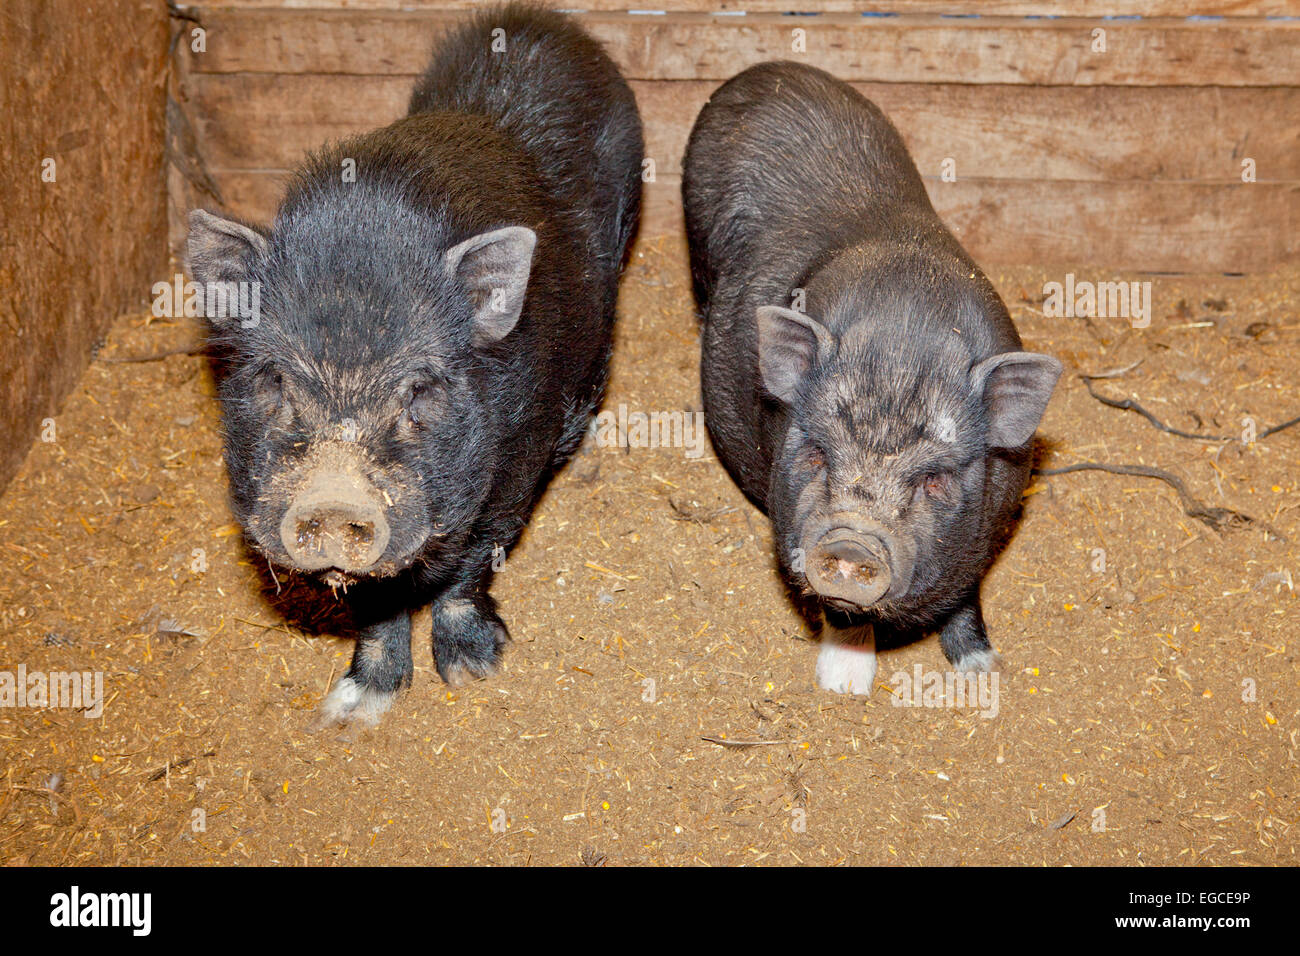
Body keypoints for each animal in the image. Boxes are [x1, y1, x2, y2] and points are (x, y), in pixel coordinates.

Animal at [186, 3, 643, 725]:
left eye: (420, 390)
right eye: (275, 380)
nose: (333, 495)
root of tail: (539, 21)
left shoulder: (517, 455)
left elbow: (473, 559)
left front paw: (477, 671)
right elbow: (376, 597)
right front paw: (351, 710)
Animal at [682, 62, 1061, 696]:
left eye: (935, 478)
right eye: (816, 453)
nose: (852, 538)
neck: (902, 344)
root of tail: (765, 71)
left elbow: (965, 590)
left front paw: (982, 670)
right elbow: (841, 611)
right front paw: (843, 686)